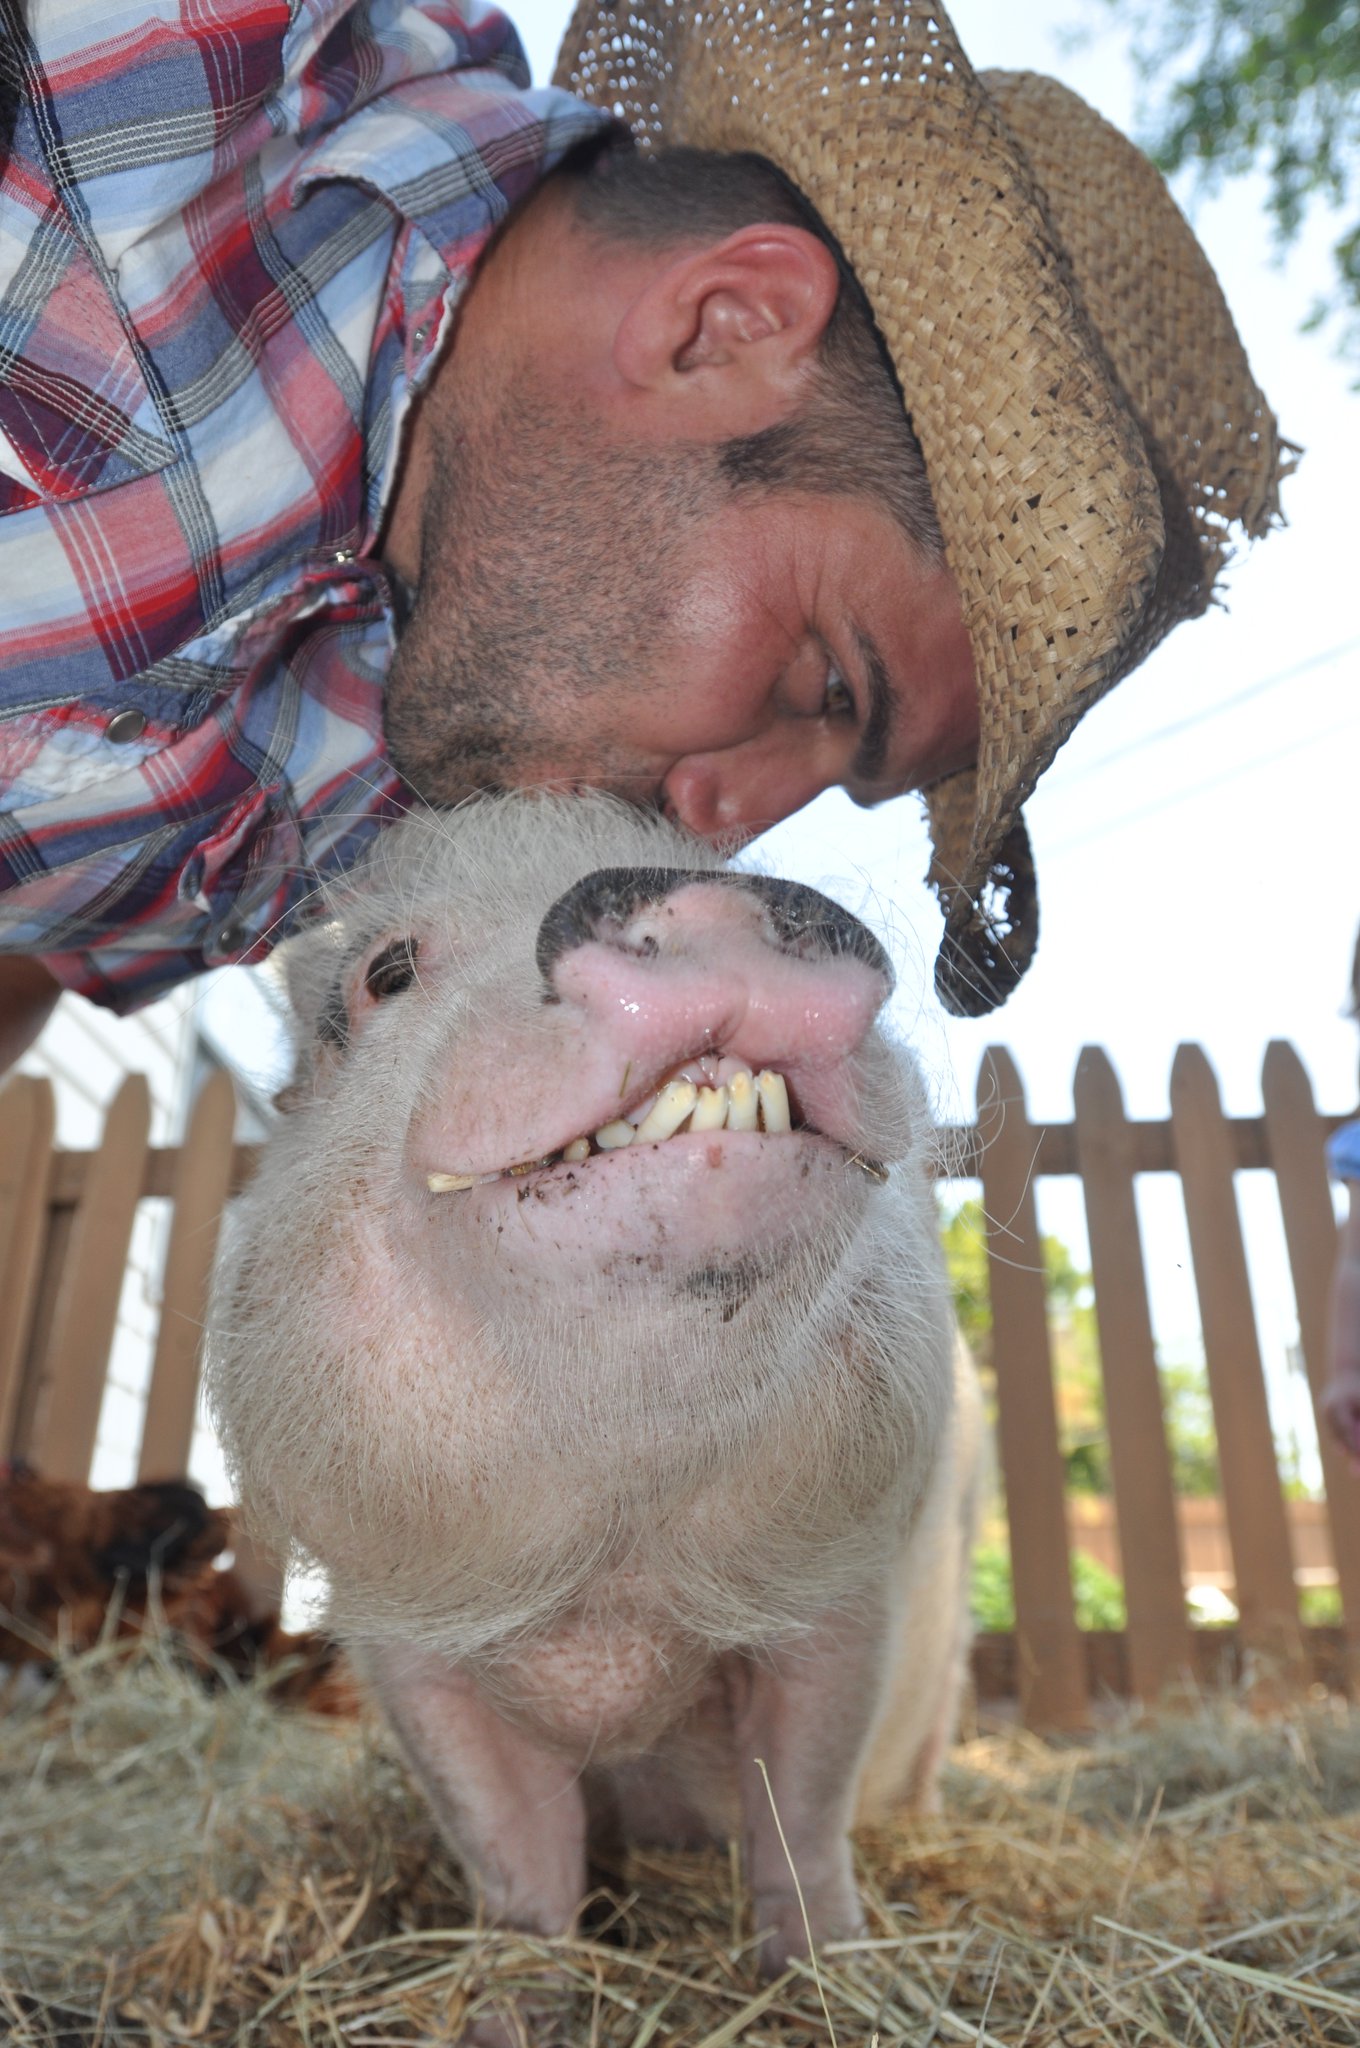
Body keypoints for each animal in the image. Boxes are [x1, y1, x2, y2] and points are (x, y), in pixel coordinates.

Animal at [207, 791, 980, 2027]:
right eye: (387, 970)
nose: (714, 902)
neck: (616, 1581)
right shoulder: (410, 1638)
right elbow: (514, 1855)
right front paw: (509, 2004)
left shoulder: (840, 1593)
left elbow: (804, 1810)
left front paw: (822, 1980)